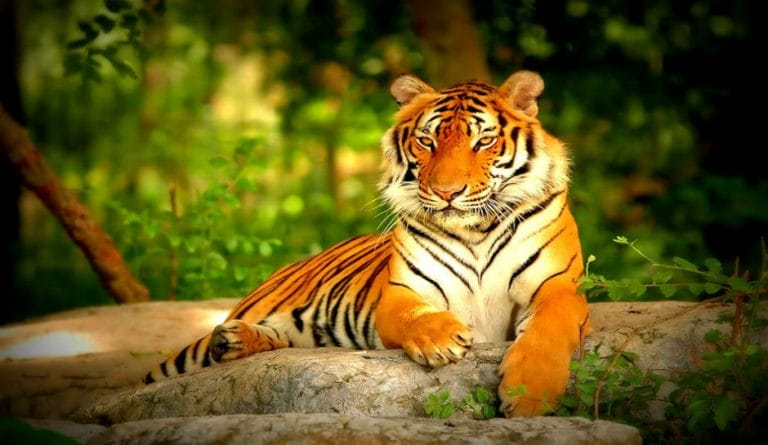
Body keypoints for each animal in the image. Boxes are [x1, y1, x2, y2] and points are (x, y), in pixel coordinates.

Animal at [142, 70, 590, 417]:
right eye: (427, 141)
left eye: (483, 141)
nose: (446, 193)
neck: (475, 231)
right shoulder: (402, 292)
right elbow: (414, 316)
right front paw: (442, 338)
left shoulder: (559, 287)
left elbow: (548, 331)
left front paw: (529, 397)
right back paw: (228, 339)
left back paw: (233, 342)